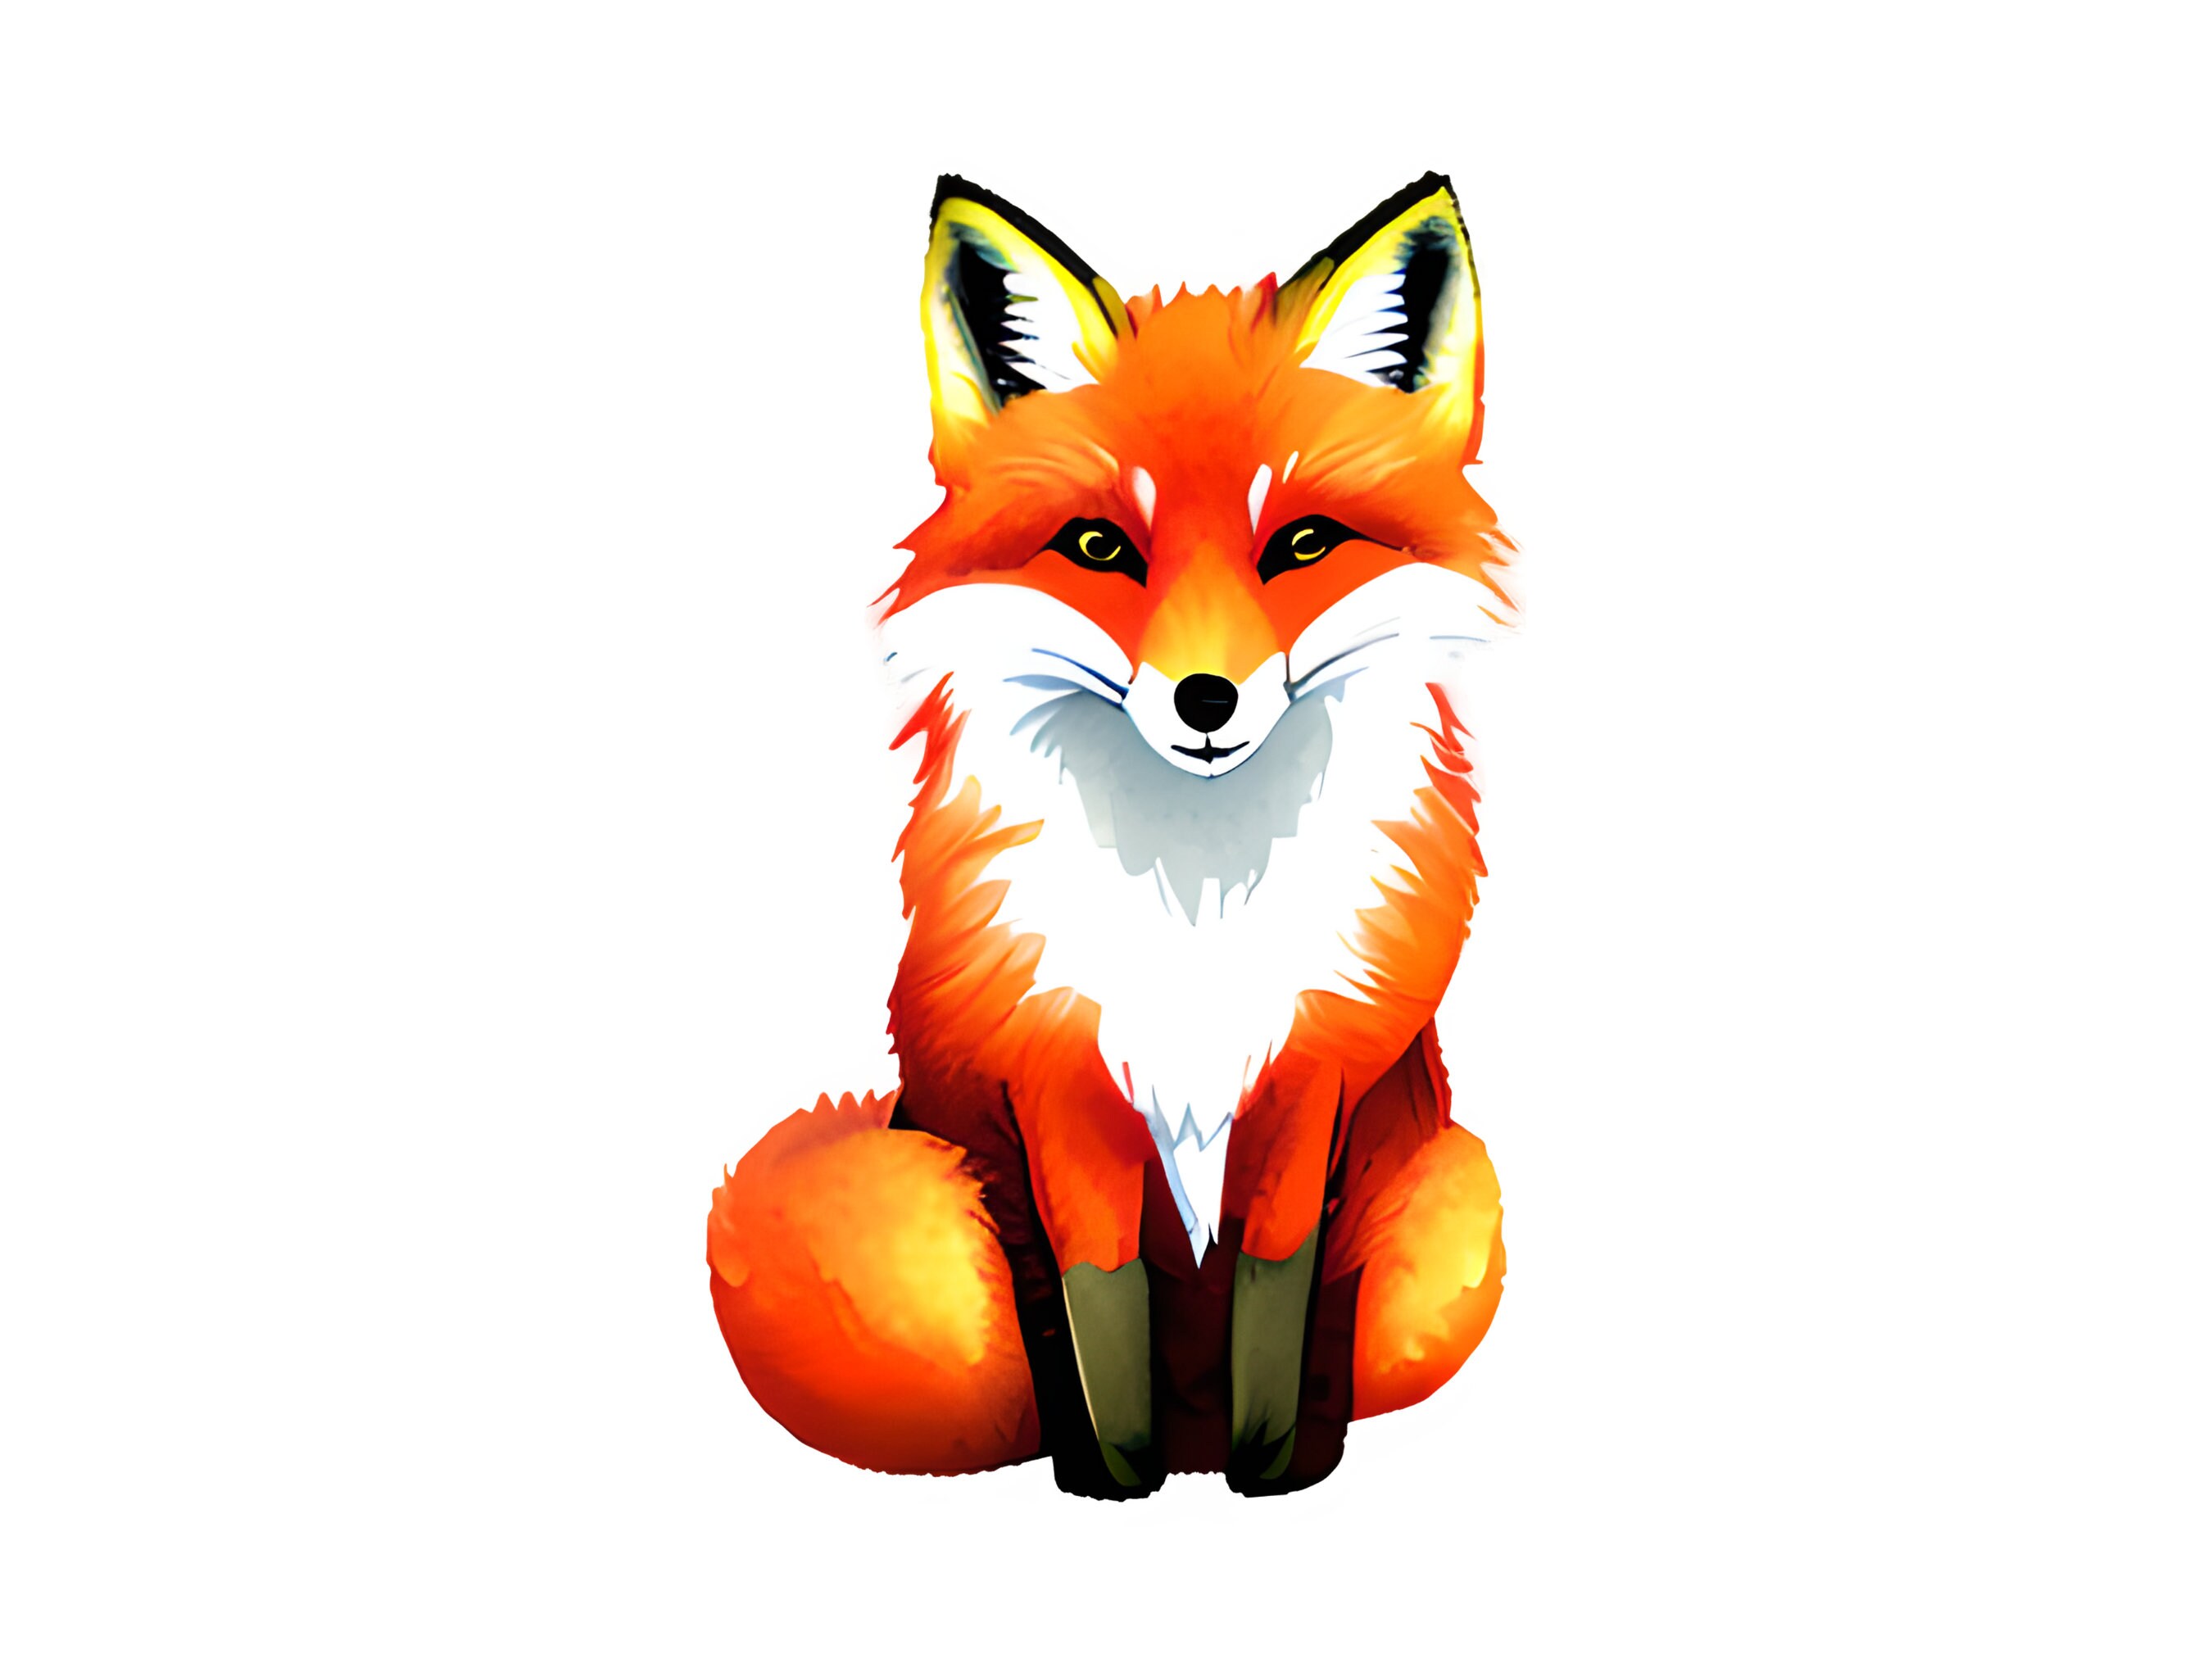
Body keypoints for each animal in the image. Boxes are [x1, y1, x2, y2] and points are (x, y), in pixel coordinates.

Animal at [707, 172, 1518, 1498]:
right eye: (1100, 547)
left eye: (1302, 544)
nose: (1206, 700)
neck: (1198, 896)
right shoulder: (1055, 1091)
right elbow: (1098, 1311)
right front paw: (1112, 1478)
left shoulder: (1313, 1089)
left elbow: (1281, 1304)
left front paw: (1276, 1470)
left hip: (1463, 1186)